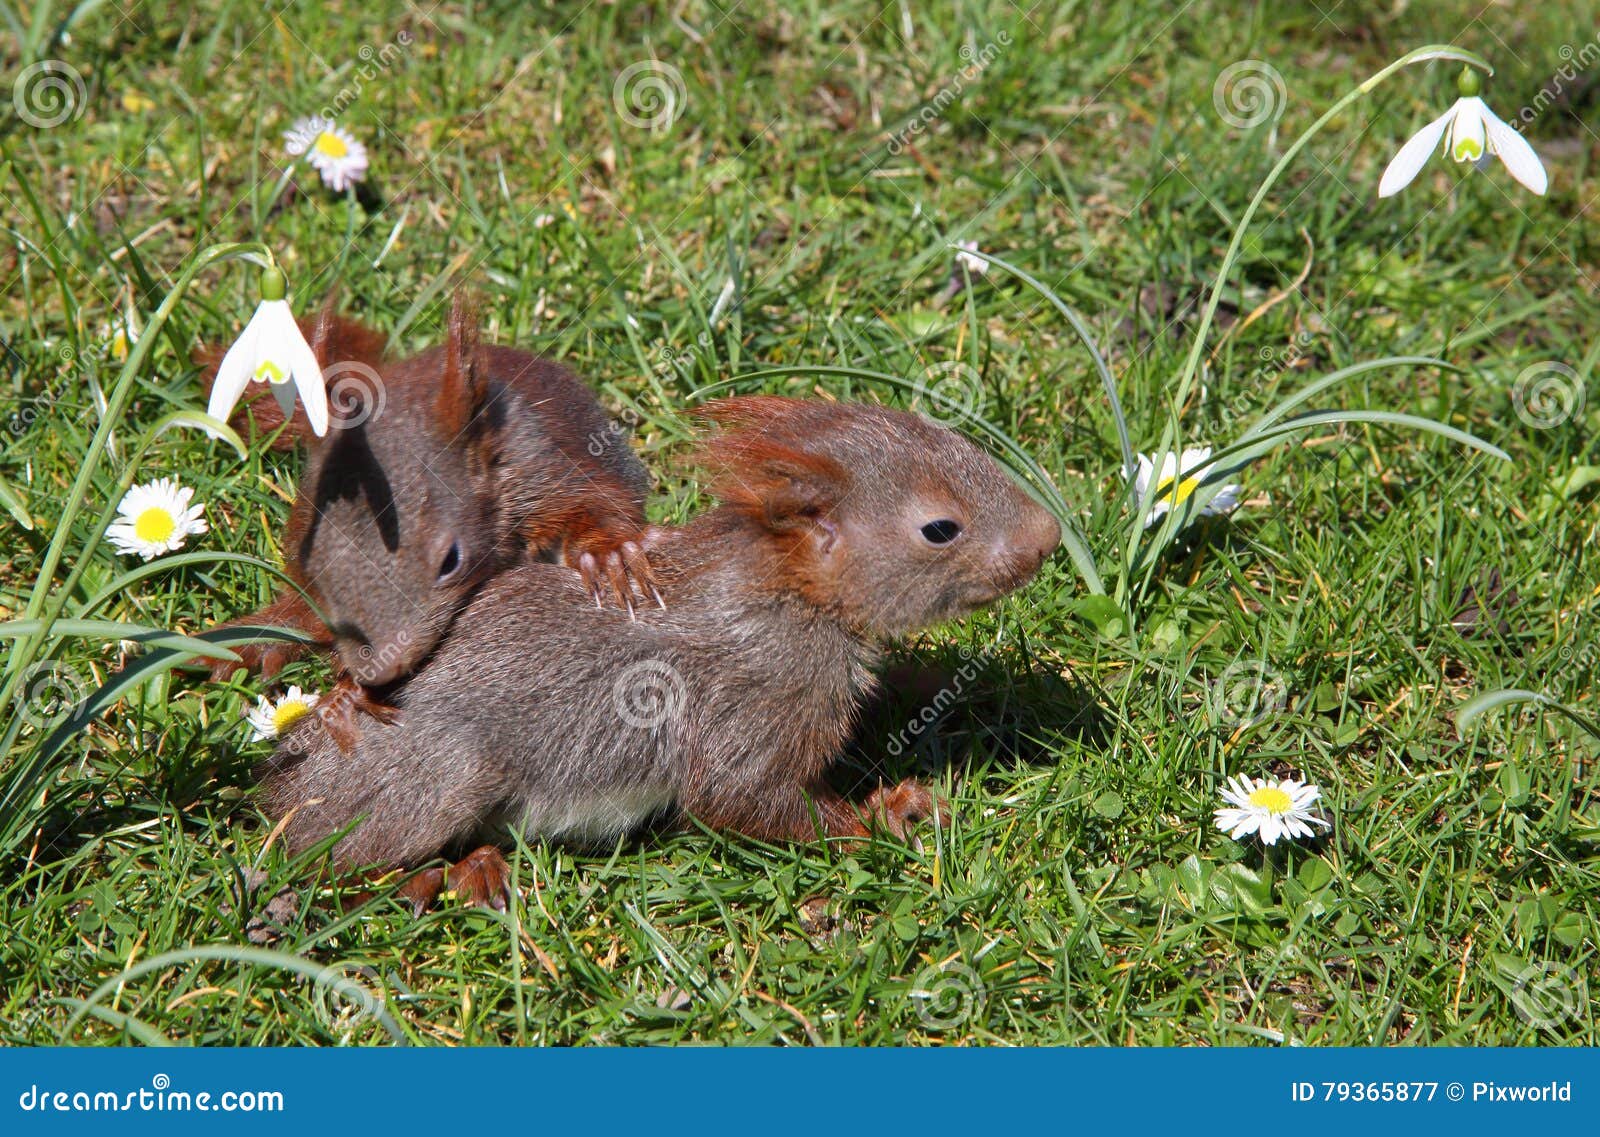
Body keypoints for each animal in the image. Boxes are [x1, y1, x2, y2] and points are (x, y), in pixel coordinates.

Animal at [202, 294, 656, 689]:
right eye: (312, 563)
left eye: (450, 562)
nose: (378, 671)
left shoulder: (543, 468)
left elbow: (598, 502)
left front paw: (608, 556)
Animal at [258, 396, 1061, 909]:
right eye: (940, 529)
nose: (1050, 537)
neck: (791, 593)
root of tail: (286, 784)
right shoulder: (753, 697)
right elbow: (741, 798)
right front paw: (885, 817)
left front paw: (950, 683)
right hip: (438, 773)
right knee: (326, 864)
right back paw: (436, 876)